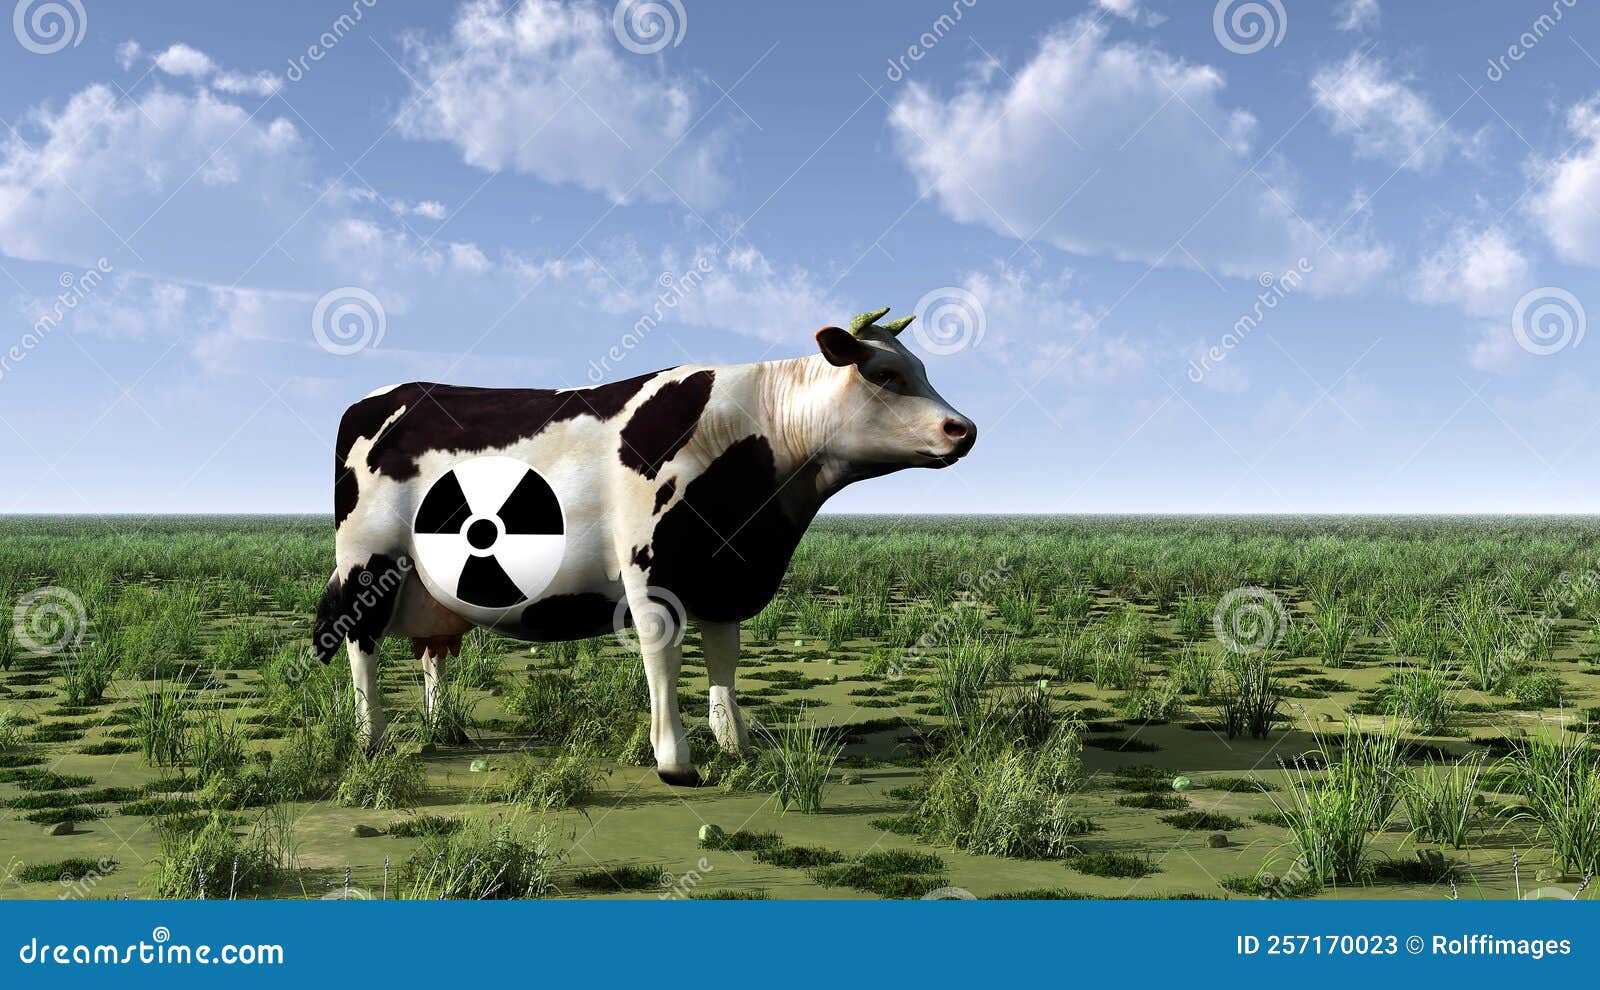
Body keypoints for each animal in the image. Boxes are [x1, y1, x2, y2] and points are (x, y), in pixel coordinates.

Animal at [312, 307, 977, 785]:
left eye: (921, 369)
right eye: (886, 374)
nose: (964, 429)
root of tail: (379, 397)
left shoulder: (725, 575)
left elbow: (724, 659)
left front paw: (734, 744)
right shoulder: (652, 568)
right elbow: (663, 656)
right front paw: (675, 760)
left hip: (430, 588)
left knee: (432, 652)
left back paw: (446, 730)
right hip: (369, 564)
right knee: (363, 645)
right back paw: (371, 739)